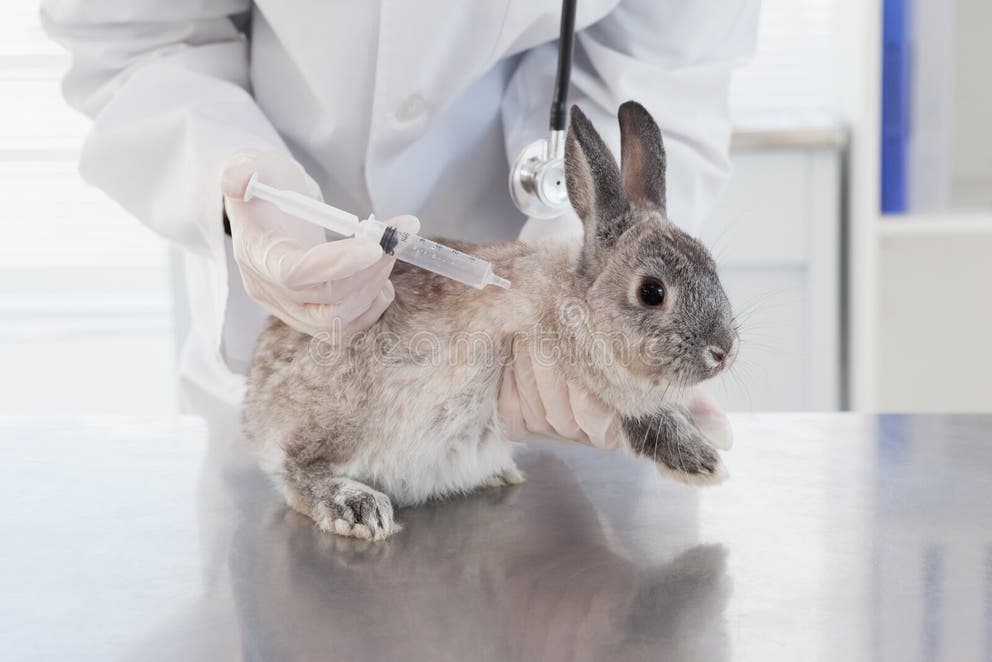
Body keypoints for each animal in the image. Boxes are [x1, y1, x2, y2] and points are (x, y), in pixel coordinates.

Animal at [243, 101, 739, 541]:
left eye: (713, 266)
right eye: (652, 292)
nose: (723, 351)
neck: (578, 304)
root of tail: (255, 415)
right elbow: (648, 419)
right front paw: (705, 464)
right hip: (344, 417)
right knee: (297, 468)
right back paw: (355, 507)